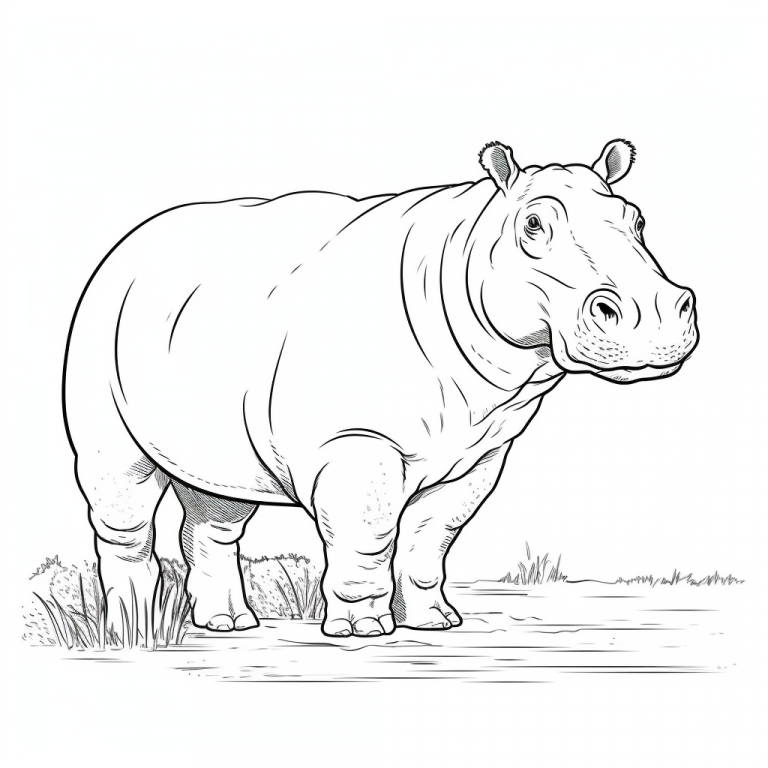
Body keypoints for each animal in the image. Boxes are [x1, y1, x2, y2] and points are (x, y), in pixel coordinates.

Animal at [63, 139, 698, 639]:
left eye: (638, 221)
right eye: (533, 227)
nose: (655, 320)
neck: (462, 252)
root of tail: (124, 247)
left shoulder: (479, 449)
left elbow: (430, 538)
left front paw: (436, 623)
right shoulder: (355, 441)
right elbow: (367, 534)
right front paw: (363, 630)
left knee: (217, 503)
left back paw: (227, 626)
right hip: (96, 330)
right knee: (121, 491)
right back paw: (132, 628)